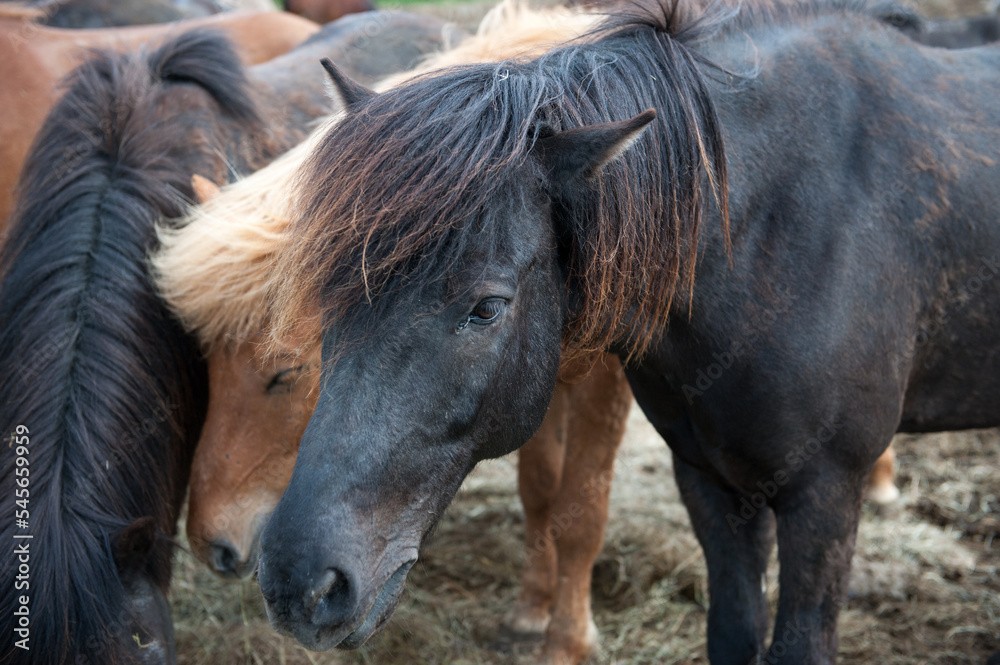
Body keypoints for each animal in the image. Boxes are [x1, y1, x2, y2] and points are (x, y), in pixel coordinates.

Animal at [256, 0, 1000, 662]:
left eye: (487, 307)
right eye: (327, 290)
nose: (300, 583)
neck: (775, 227)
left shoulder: (824, 494)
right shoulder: (709, 478)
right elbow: (733, 634)